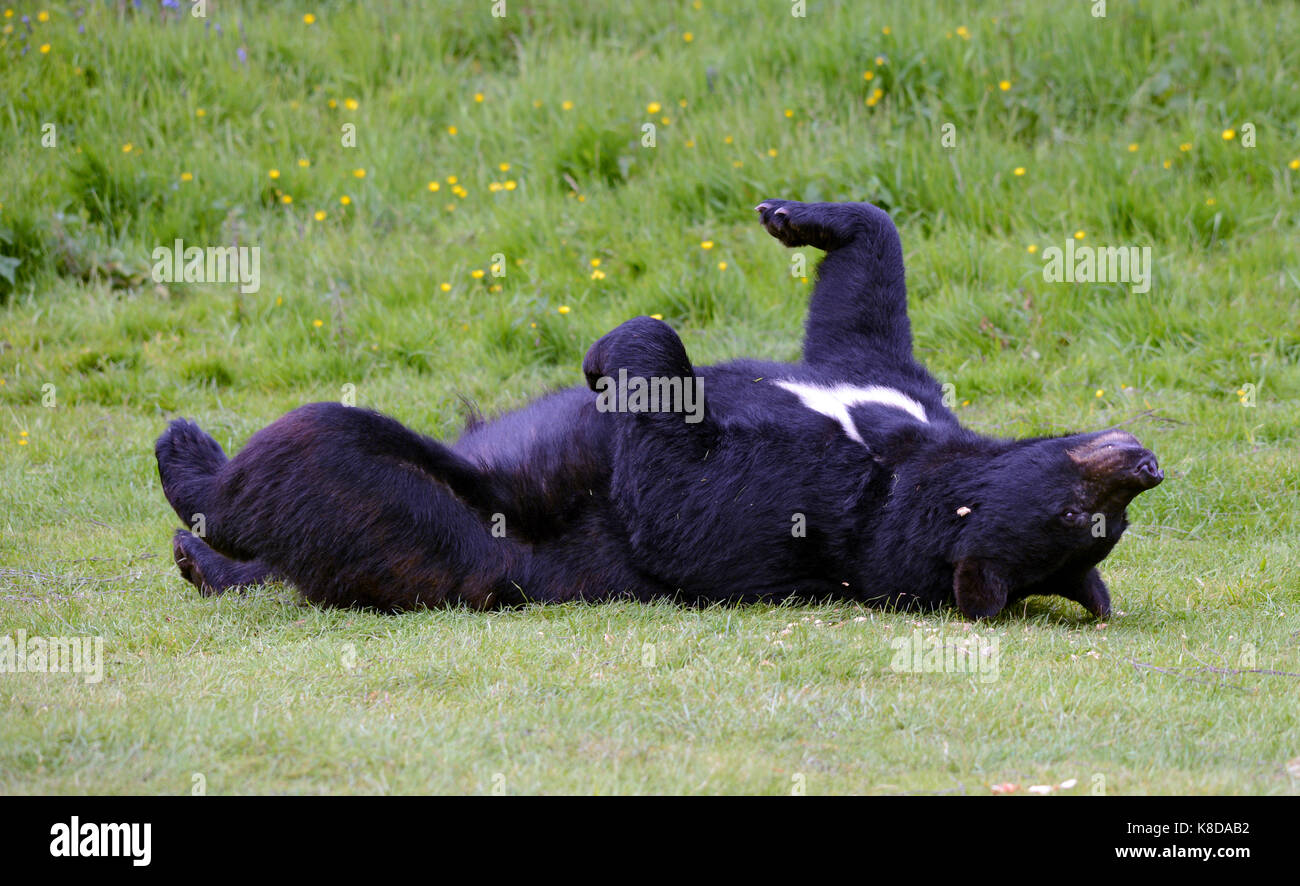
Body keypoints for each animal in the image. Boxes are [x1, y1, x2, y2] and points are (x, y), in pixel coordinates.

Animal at [155, 198, 1163, 618]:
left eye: (1083, 521)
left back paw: (192, 467)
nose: (1145, 465)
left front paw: (618, 353)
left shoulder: (826, 505)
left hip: (436, 536)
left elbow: (677, 501)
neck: (907, 461)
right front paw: (802, 216)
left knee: (318, 462)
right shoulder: (897, 393)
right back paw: (208, 562)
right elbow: (858, 322)